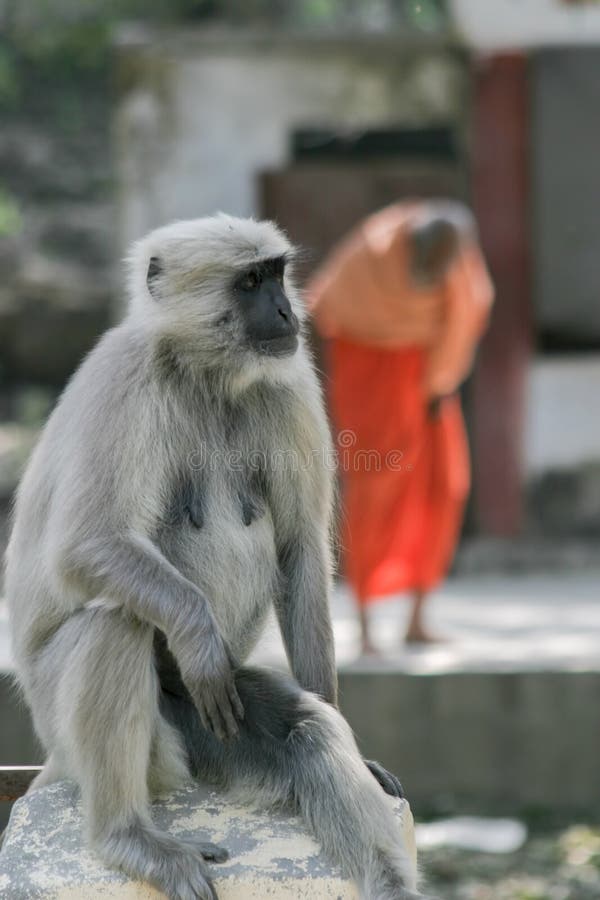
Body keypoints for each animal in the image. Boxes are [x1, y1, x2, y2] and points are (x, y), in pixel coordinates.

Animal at [5, 214, 431, 900]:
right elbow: (87, 543)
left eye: (277, 275)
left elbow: (299, 546)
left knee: (306, 727)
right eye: (251, 281)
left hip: (202, 730)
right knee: (114, 621)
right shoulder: (127, 375)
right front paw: (199, 635)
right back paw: (127, 837)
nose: (286, 310)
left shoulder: (289, 379)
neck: (205, 372)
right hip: (71, 720)